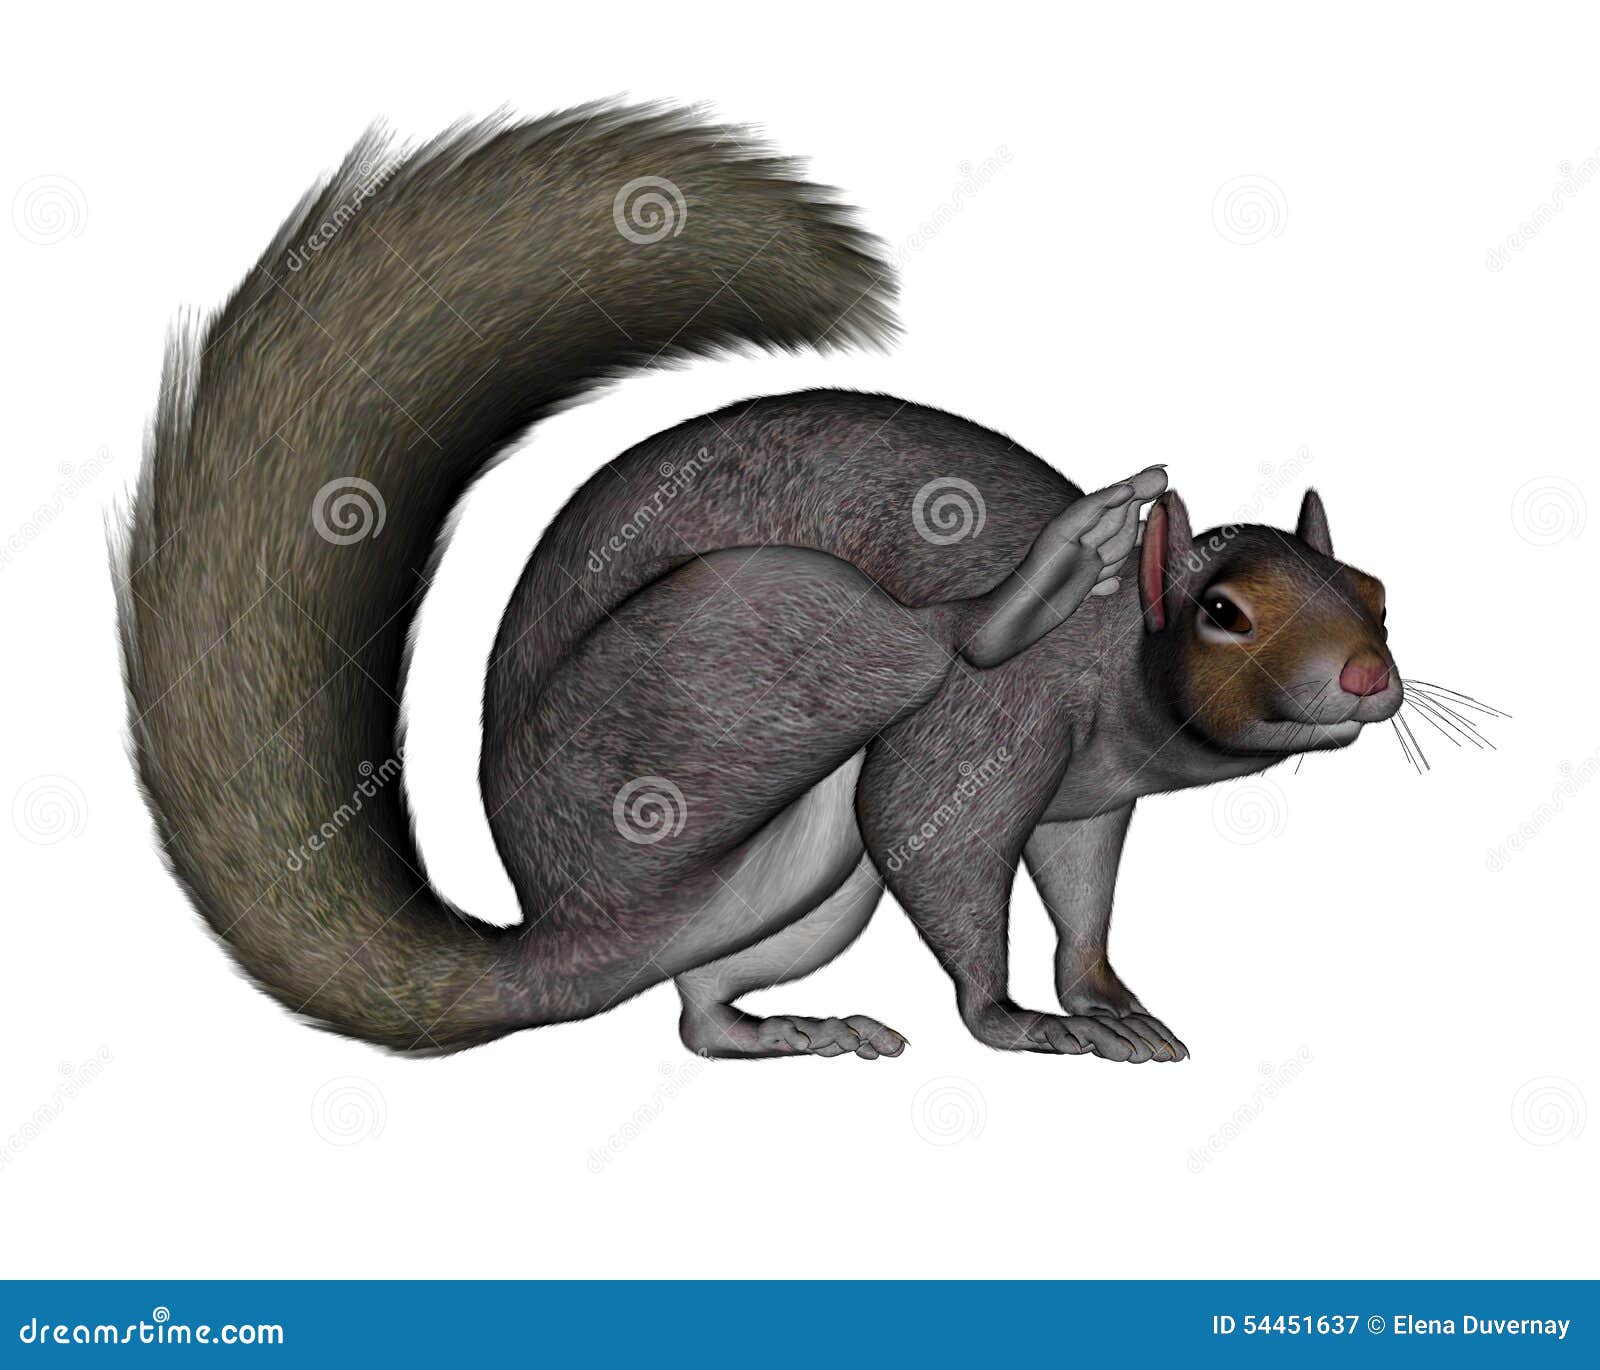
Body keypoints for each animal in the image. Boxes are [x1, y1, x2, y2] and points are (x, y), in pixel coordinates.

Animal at [118, 104, 1402, 1063]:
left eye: (1377, 590)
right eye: (1221, 612)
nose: (1367, 676)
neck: (1116, 669)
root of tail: (569, 926)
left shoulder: (1087, 804)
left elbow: (1079, 898)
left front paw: (1104, 997)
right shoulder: (988, 734)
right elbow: (935, 836)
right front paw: (1013, 1019)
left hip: (805, 886)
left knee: (692, 1009)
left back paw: (784, 1026)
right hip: (737, 653)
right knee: (919, 650)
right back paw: (1020, 588)